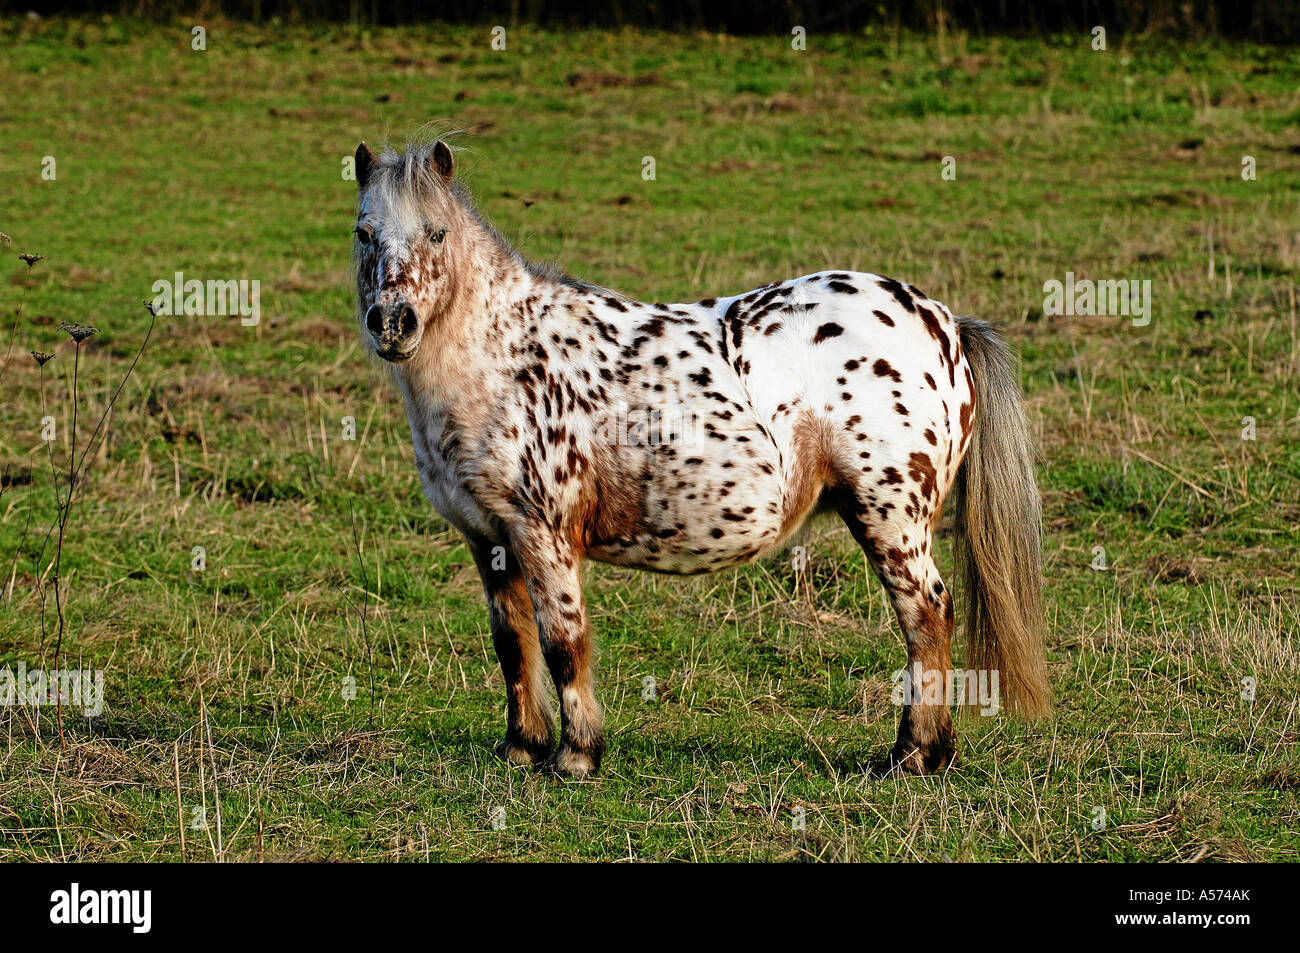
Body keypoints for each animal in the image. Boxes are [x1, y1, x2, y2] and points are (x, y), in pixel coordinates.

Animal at [351, 137, 1049, 778]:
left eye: (437, 232)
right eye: (364, 233)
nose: (392, 322)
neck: (503, 358)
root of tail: (946, 323)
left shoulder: (542, 533)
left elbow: (562, 643)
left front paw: (575, 756)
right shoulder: (487, 538)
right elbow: (512, 644)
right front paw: (521, 747)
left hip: (891, 519)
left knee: (927, 615)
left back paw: (914, 755)